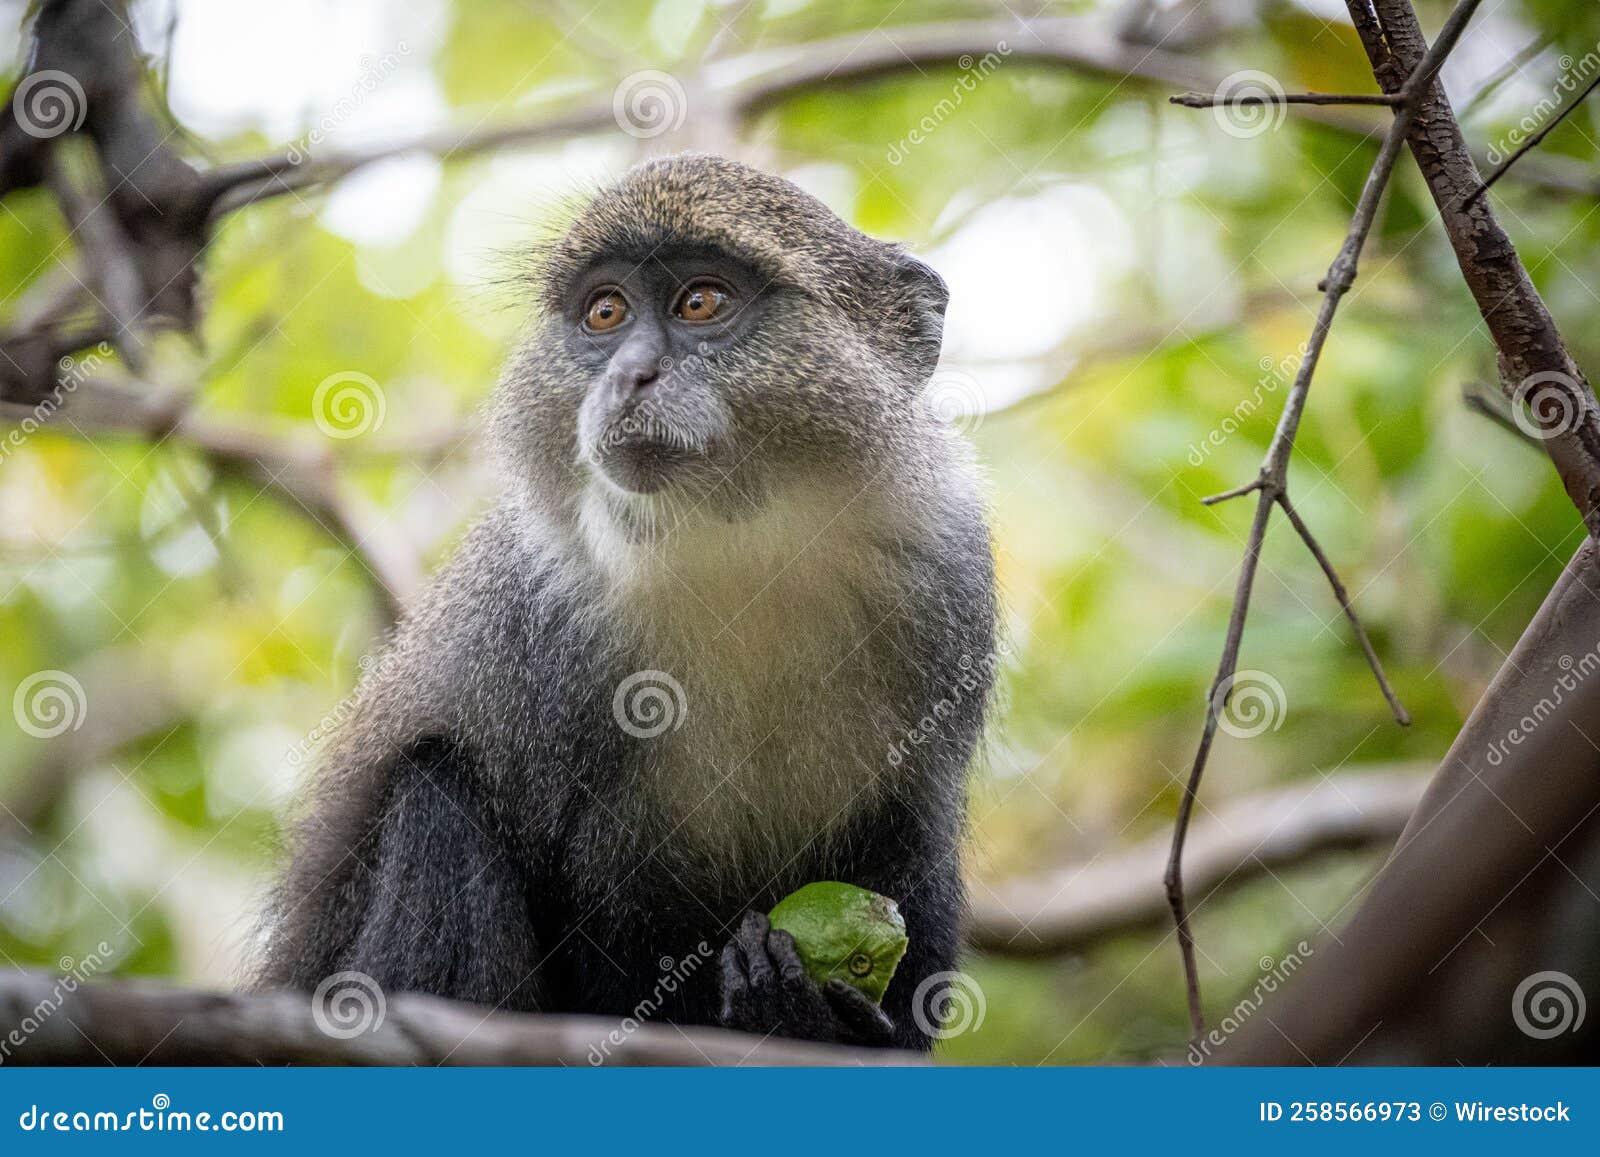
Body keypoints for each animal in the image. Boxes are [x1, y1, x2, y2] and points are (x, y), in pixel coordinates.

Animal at [255, 153, 997, 1051]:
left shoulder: (946, 575)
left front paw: (813, 1015)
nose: (628, 375)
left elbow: (911, 865)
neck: (737, 551)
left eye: (701, 302)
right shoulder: (541, 622)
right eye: (605, 312)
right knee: (435, 801)